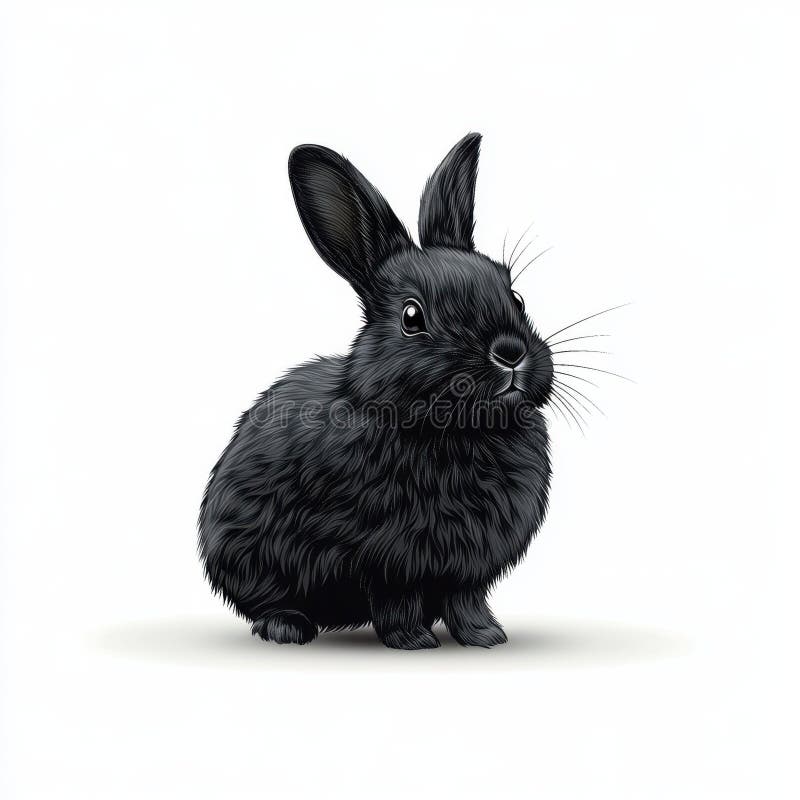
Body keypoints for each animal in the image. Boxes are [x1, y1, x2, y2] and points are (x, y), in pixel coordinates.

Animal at [198, 133, 553, 649]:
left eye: (516, 296)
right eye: (411, 316)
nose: (509, 352)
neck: (457, 432)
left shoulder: (467, 567)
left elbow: (466, 599)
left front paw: (486, 637)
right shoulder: (386, 558)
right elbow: (396, 599)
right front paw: (412, 641)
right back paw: (288, 627)